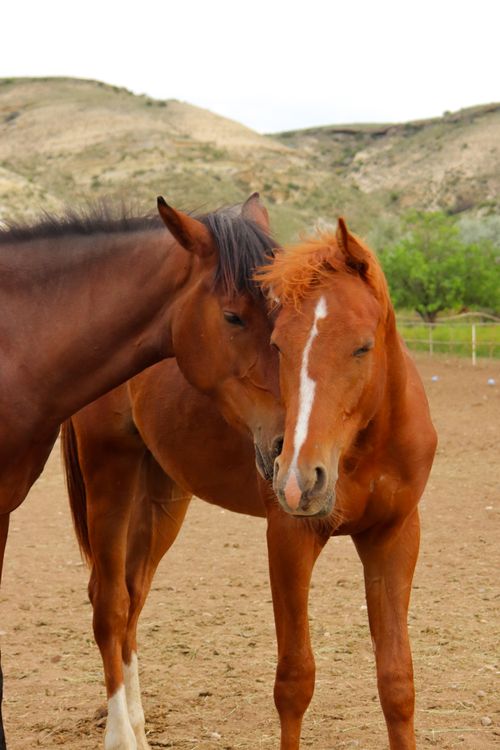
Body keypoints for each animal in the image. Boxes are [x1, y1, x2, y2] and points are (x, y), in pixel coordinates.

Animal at [62, 218, 436, 749]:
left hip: (162, 498)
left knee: (133, 596)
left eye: (363, 346)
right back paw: (122, 732)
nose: (300, 479)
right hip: (109, 476)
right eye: (279, 345)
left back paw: (137, 723)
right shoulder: (289, 538)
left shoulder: (394, 538)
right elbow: (295, 681)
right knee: (109, 603)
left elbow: (397, 682)